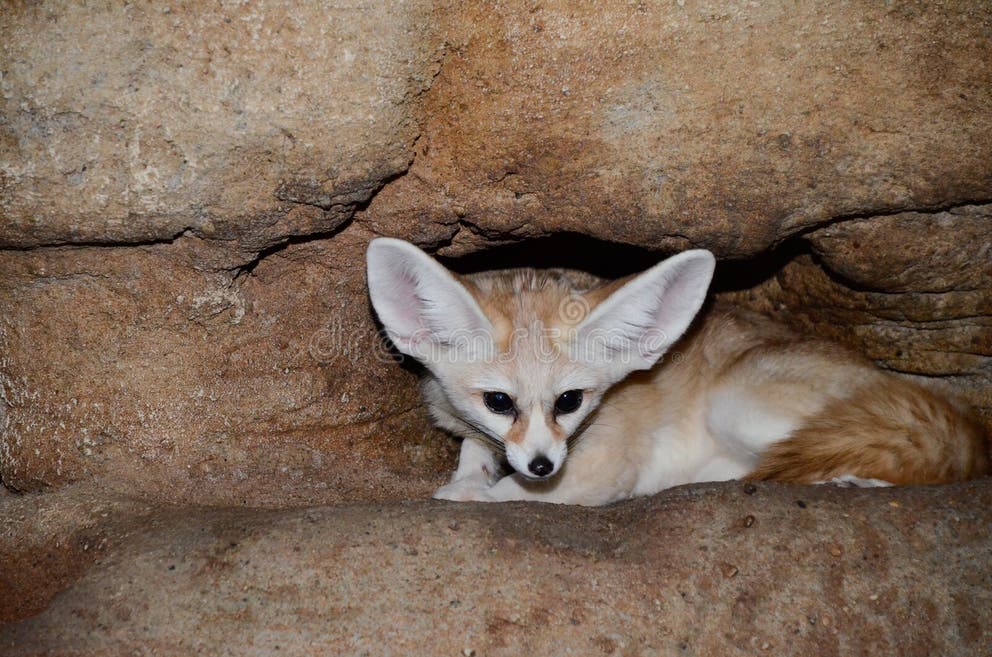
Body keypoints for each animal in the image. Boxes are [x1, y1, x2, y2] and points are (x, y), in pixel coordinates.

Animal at [366, 237, 990, 506]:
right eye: (499, 402)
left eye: (570, 401)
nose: (543, 465)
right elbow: (476, 455)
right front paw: (472, 473)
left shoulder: (596, 475)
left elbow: (505, 497)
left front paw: (475, 492)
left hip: (738, 407)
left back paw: (853, 480)